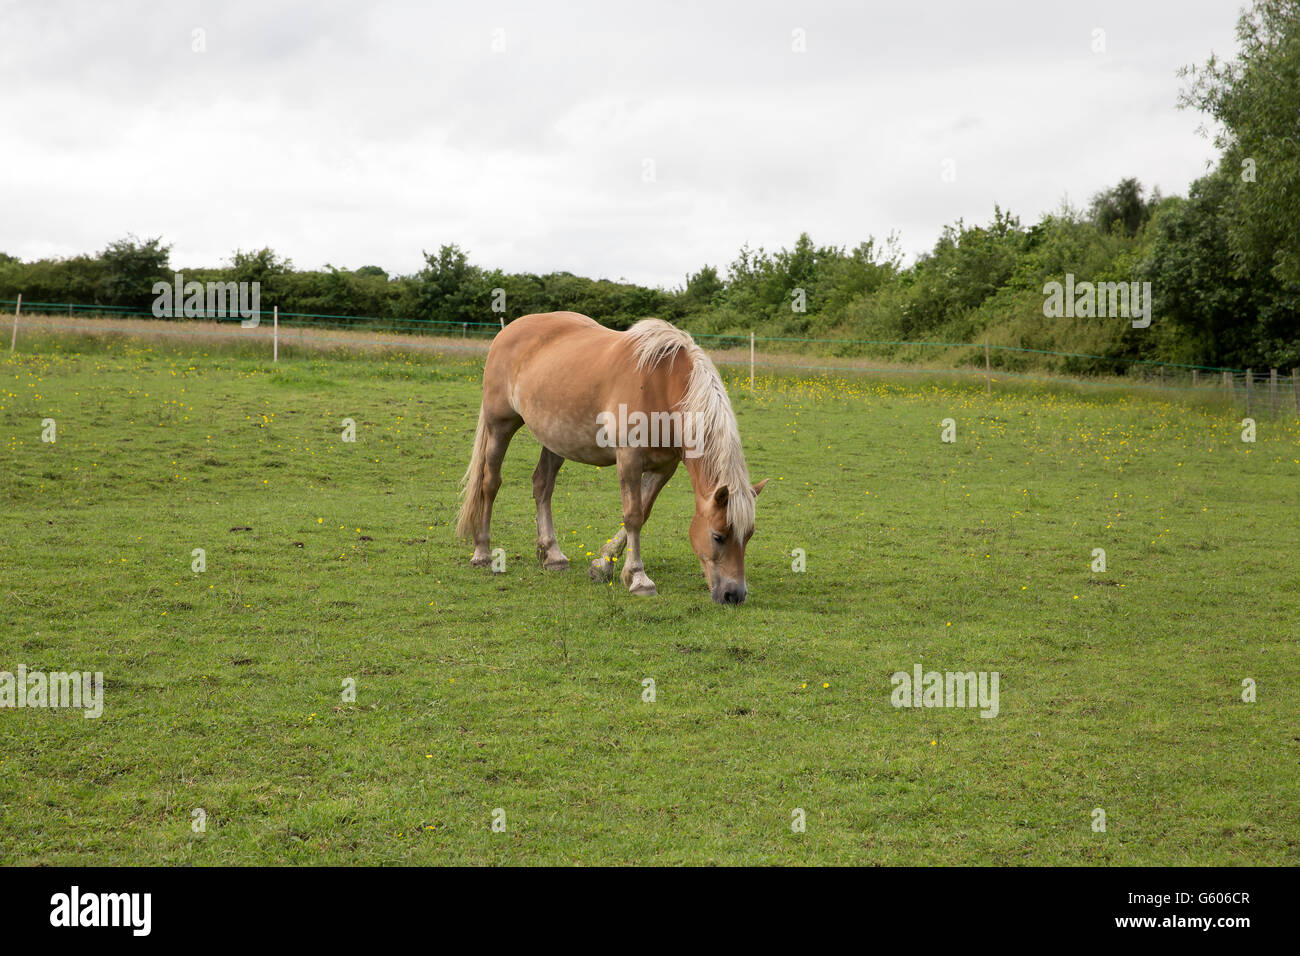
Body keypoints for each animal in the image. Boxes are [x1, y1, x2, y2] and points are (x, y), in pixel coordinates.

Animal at [457, 312, 767, 603]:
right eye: (718, 536)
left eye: (749, 535)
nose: (734, 594)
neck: (662, 386)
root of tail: (507, 331)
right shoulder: (628, 459)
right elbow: (633, 516)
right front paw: (639, 579)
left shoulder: (664, 467)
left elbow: (644, 512)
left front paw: (602, 565)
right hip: (500, 425)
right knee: (490, 483)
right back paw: (482, 552)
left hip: (555, 440)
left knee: (542, 486)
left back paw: (553, 554)